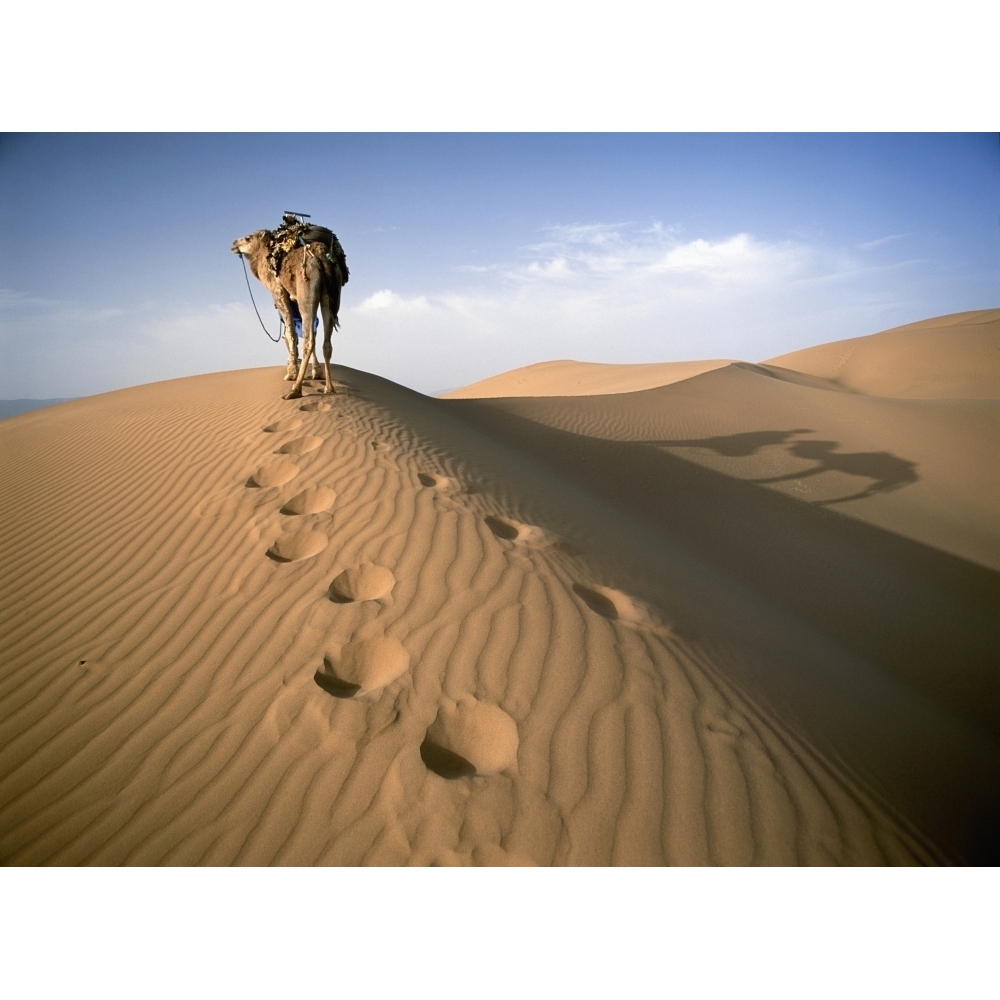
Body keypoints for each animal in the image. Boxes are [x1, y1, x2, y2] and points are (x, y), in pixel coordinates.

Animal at [231, 229, 346, 399]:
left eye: (247, 238)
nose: (233, 244)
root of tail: (321, 256)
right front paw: (313, 372)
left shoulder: (278, 291)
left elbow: (290, 332)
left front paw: (291, 373)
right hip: (332, 294)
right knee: (327, 342)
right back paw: (329, 388)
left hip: (306, 287)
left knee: (309, 340)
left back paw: (295, 389)